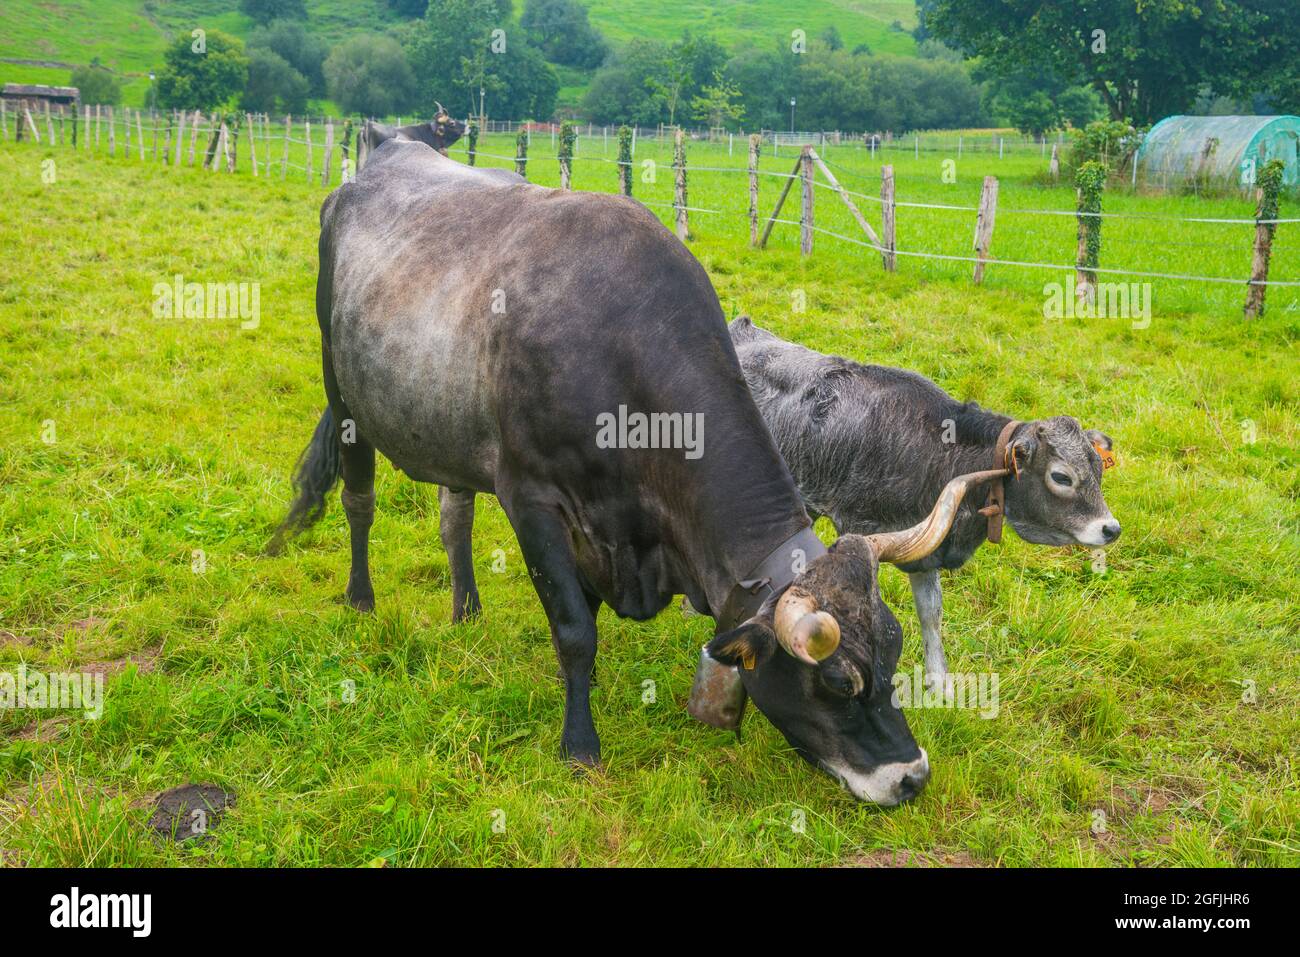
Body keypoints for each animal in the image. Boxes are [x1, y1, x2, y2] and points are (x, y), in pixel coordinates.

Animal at [270, 137, 1005, 804]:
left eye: (895, 651)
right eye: (837, 683)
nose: (912, 775)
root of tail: (388, 149)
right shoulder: (532, 499)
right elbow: (575, 630)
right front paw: (579, 743)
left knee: (455, 514)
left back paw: (467, 609)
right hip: (344, 394)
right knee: (359, 501)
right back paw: (361, 597)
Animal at [728, 315, 1119, 695]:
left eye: (1099, 469)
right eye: (1062, 477)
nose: (1111, 528)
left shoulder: (924, 546)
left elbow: (931, 612)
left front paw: (940, 684)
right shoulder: (863, 528)